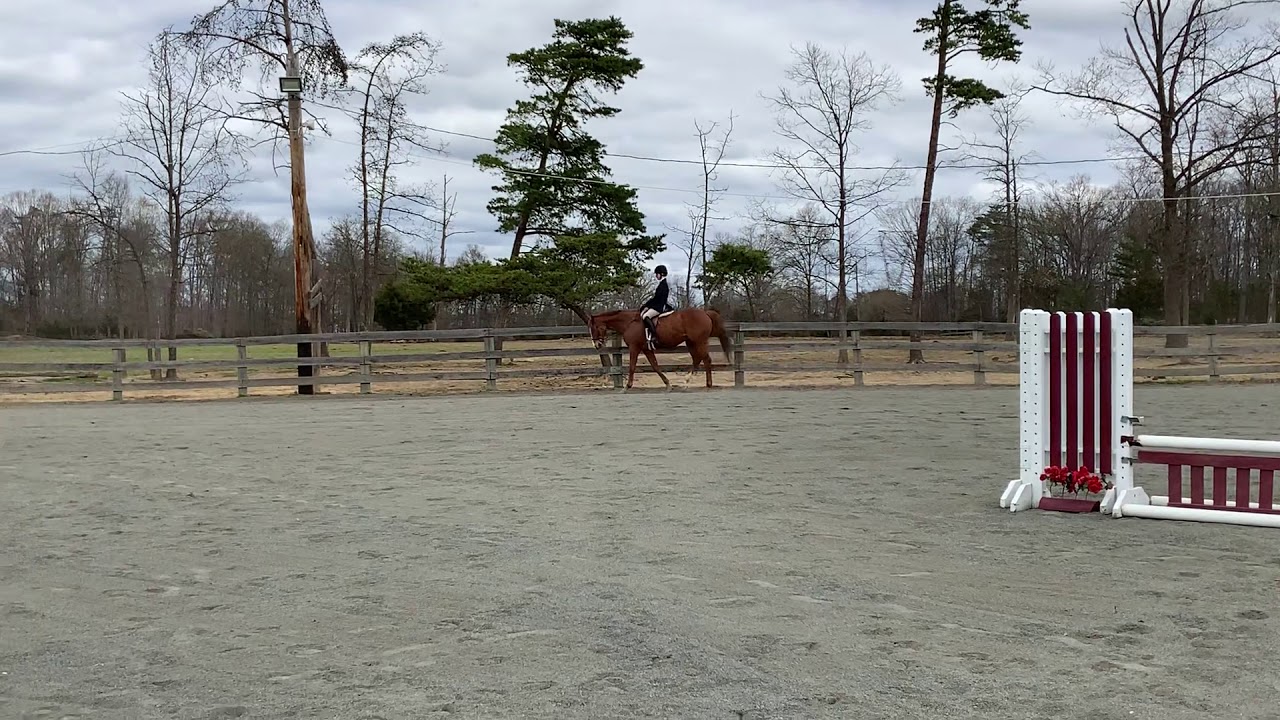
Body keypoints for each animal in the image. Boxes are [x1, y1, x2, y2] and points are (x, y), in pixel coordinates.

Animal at [587, 307, 733, 390]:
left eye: (594, 328)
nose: (597, 345)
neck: (629, 322)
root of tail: (705, 312)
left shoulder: (635, 348)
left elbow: (632, 366)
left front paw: (628, 386)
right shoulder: (646, 349)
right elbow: (655, 366)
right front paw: (667, 384)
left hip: (699, 342)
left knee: (706, 360)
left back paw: (708, 384)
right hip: (691, 343)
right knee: (697, 360)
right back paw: (686, 382)